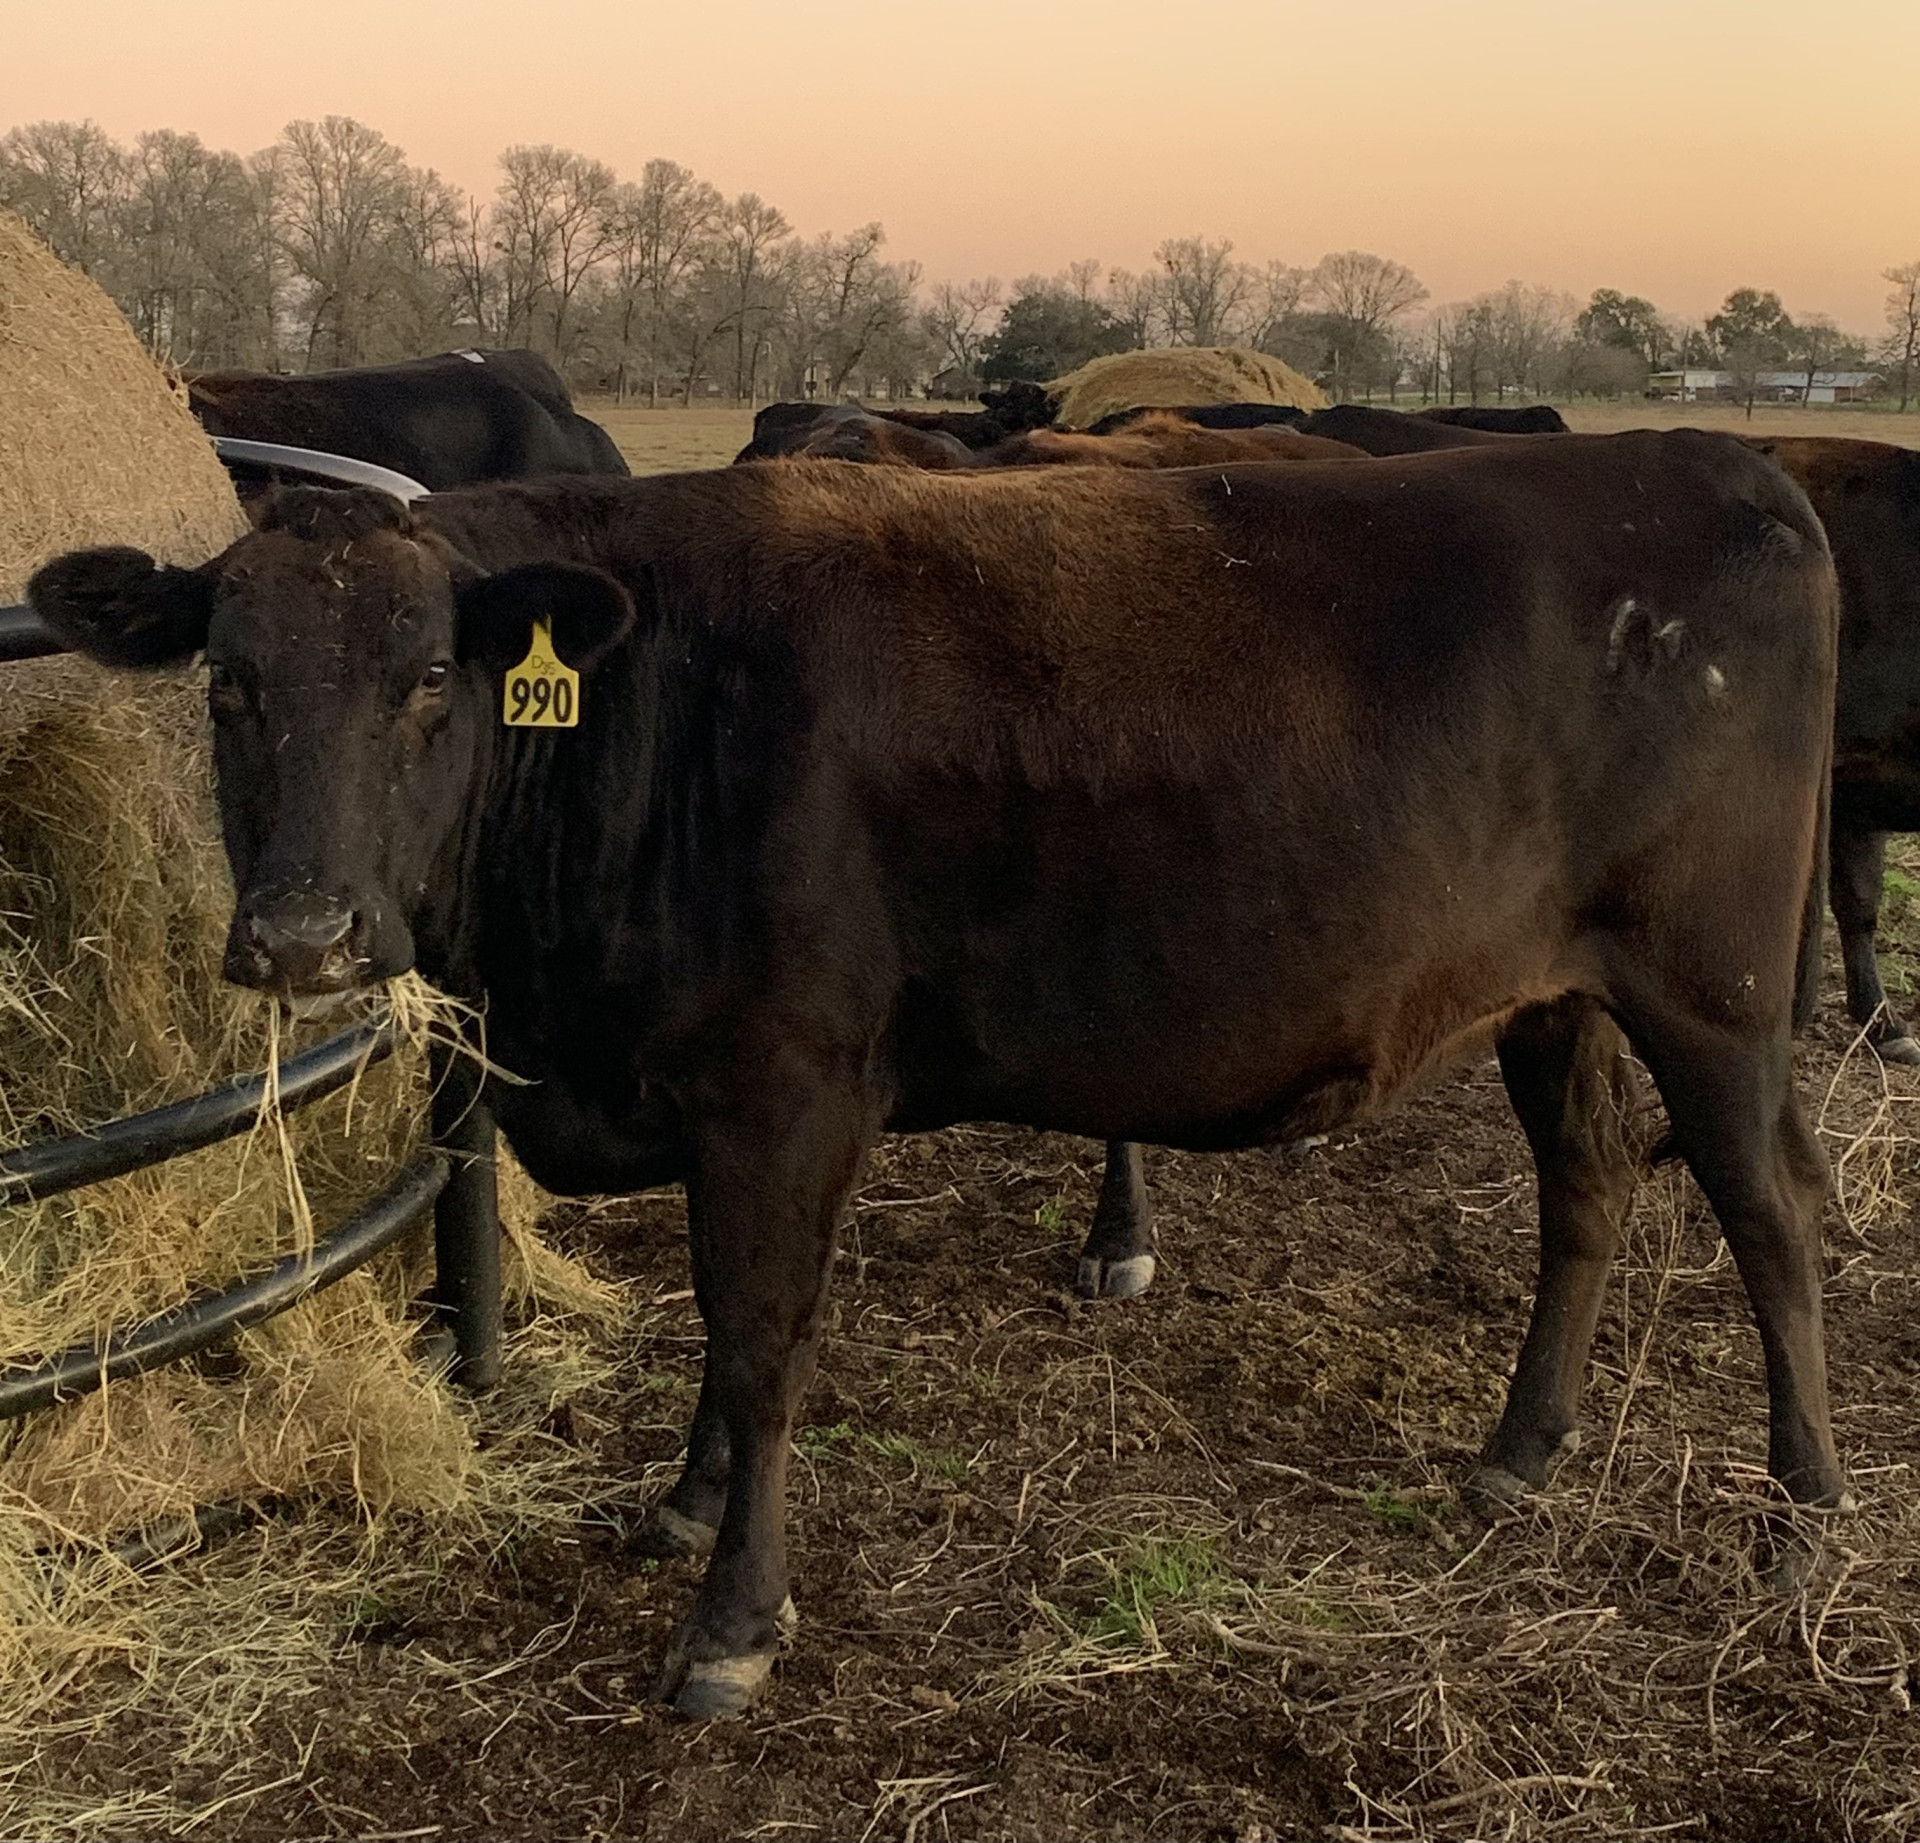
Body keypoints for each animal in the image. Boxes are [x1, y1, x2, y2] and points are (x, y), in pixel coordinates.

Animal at [30, 433, 1845, 1718]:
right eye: (228, 681)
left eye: (426, 679)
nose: (303, 934)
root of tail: (1718, 462)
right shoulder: (707, 1096)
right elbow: (720, 1331)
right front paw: (682, 1501)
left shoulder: (784, 1085)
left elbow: (762, 1335)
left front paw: (731, 1620)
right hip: (1555, 991)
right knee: (1588, 1184)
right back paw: (1520, 1449)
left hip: (1718, 988)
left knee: (1772, 1215)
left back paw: (1804, 1515)